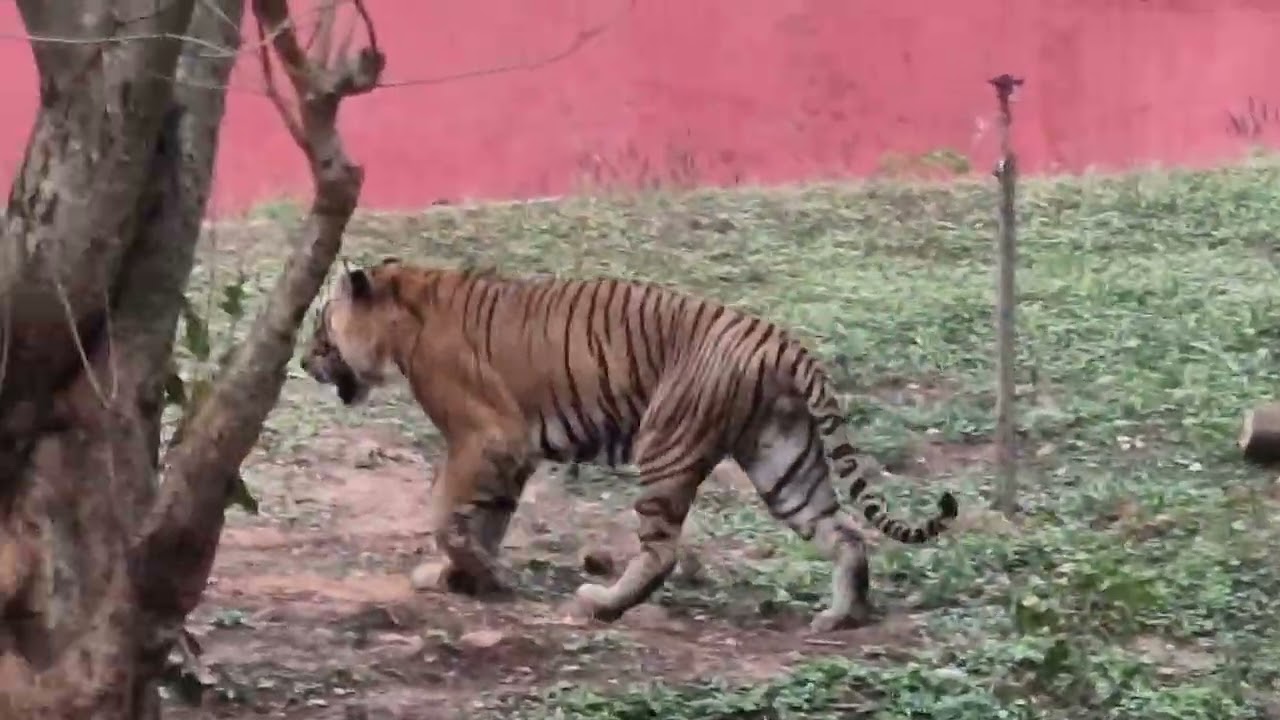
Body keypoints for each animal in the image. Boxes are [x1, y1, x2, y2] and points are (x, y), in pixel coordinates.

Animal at [299, 258, 958, 633]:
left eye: (319, 326)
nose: (303, 363)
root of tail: (778, 340)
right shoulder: (510, 455)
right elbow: (485, 519)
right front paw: (467, 577)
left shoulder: (484, 438)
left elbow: (444, 513)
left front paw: (476, 571)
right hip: (784, 461)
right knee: (843, 532)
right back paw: (843, 616)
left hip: (666, 445)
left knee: (661, 551)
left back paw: (601, 604)